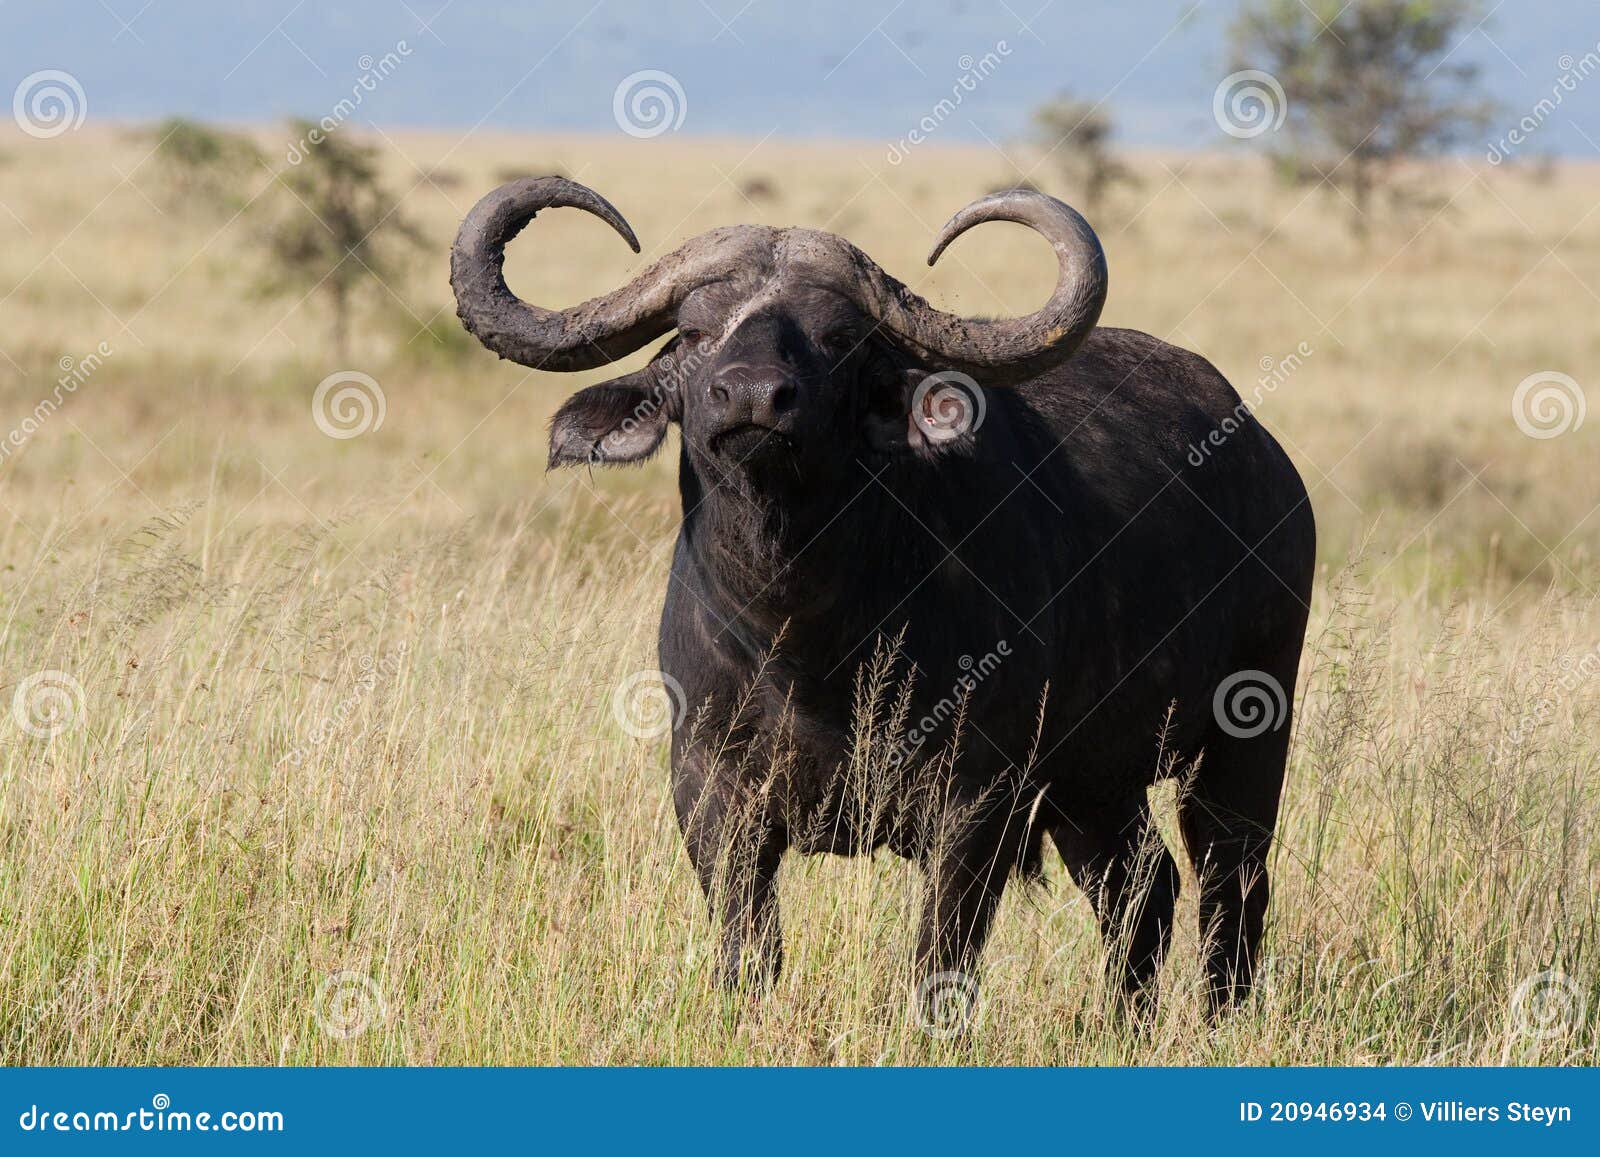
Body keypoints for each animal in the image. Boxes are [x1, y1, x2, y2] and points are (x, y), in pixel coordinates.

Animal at [450, 176, 1315, 1021]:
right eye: (694, 333)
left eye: (837, 337)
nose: (753, 397)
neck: (804, 637)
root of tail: (1269, 462)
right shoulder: (708, 787)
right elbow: (748, 944)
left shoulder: (977, 798)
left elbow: (941, 953)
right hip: (1094, 778)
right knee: (1141, 886)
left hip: (1247, 730)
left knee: (1230, 874)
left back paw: (1221, 1017)